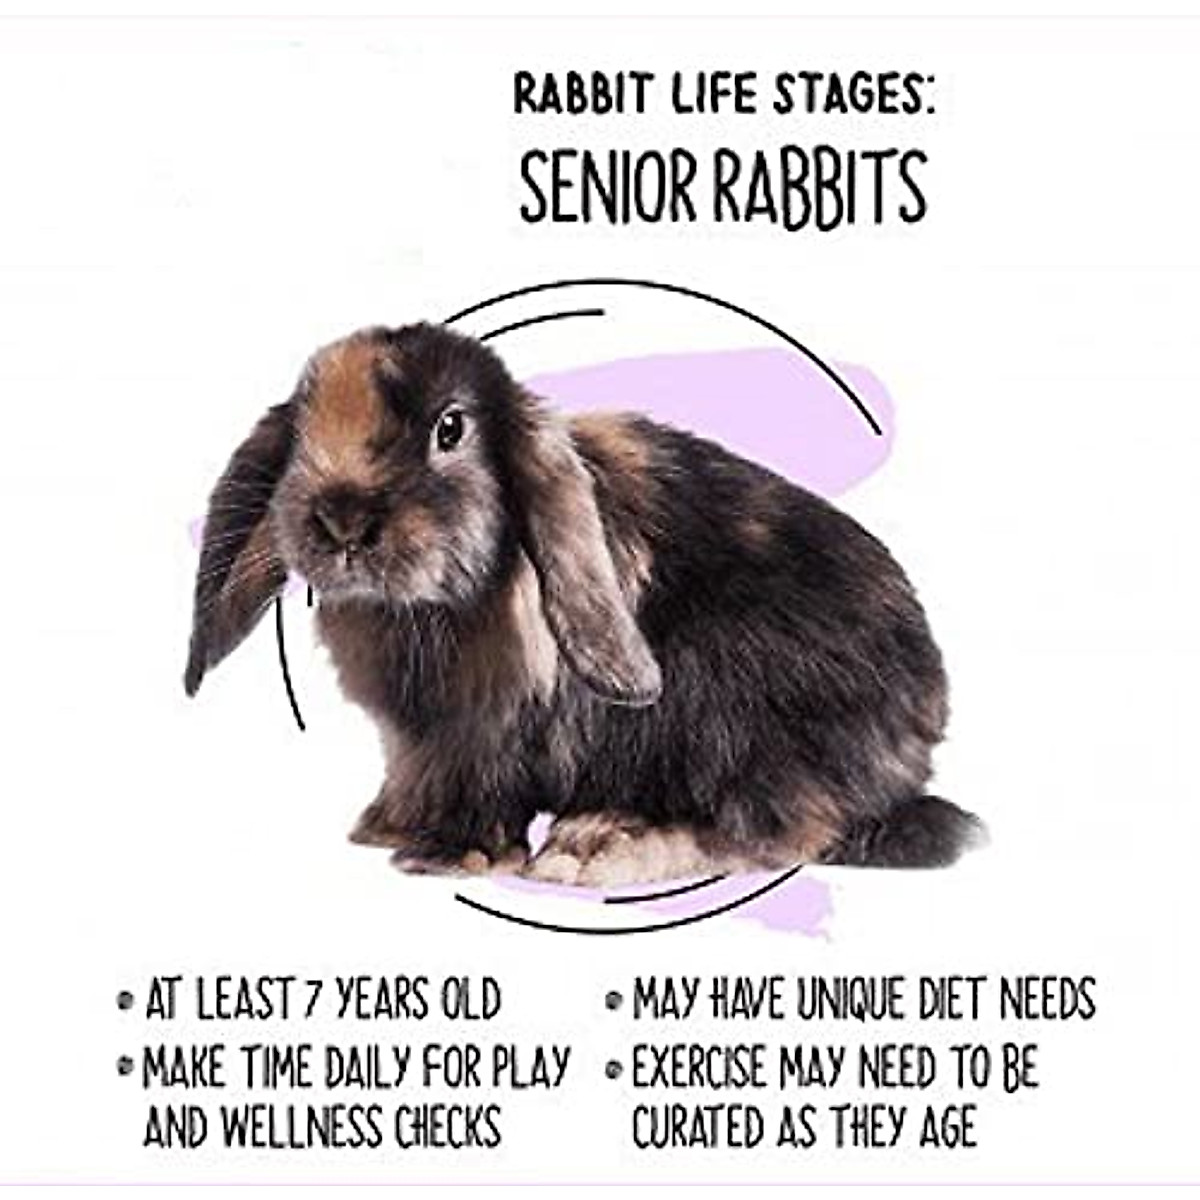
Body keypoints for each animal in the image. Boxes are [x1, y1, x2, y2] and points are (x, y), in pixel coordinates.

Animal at [185, 321, 984, 886]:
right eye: (302, 429)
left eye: (451, 428)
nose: (341, 521)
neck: (423, 609)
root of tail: (925, 721)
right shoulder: (423, 742)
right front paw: (389, 827)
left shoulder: (489, 730)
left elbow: (485, 784)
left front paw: (449, 855)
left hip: (735, 722)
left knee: (774, 826)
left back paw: (597, 848)